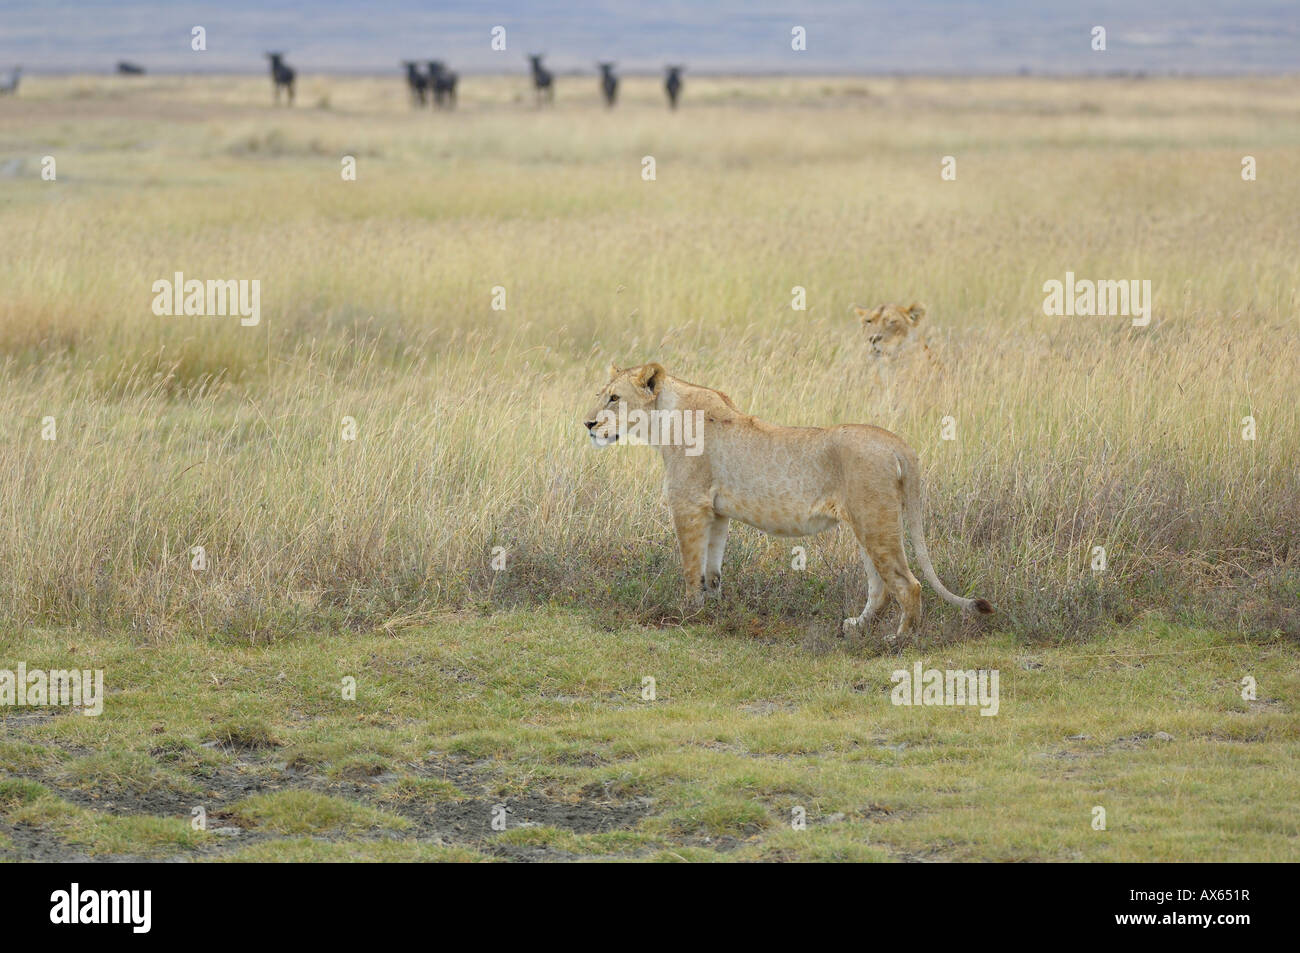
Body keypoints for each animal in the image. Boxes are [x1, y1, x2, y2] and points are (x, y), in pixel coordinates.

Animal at [583, 363, 992, 640]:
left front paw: (688, 613)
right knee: (881, 589)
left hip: (876, 522)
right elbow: (711, 570)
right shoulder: (716, 512)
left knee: (909, 585)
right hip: (868, 524)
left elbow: (689, 567)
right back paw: (856, 628)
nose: (587, 424)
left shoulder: (689, 504)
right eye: (601, 394)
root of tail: (895, 441)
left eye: (614, 398)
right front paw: (714, 611)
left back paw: (899, 640)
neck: (662, 421)